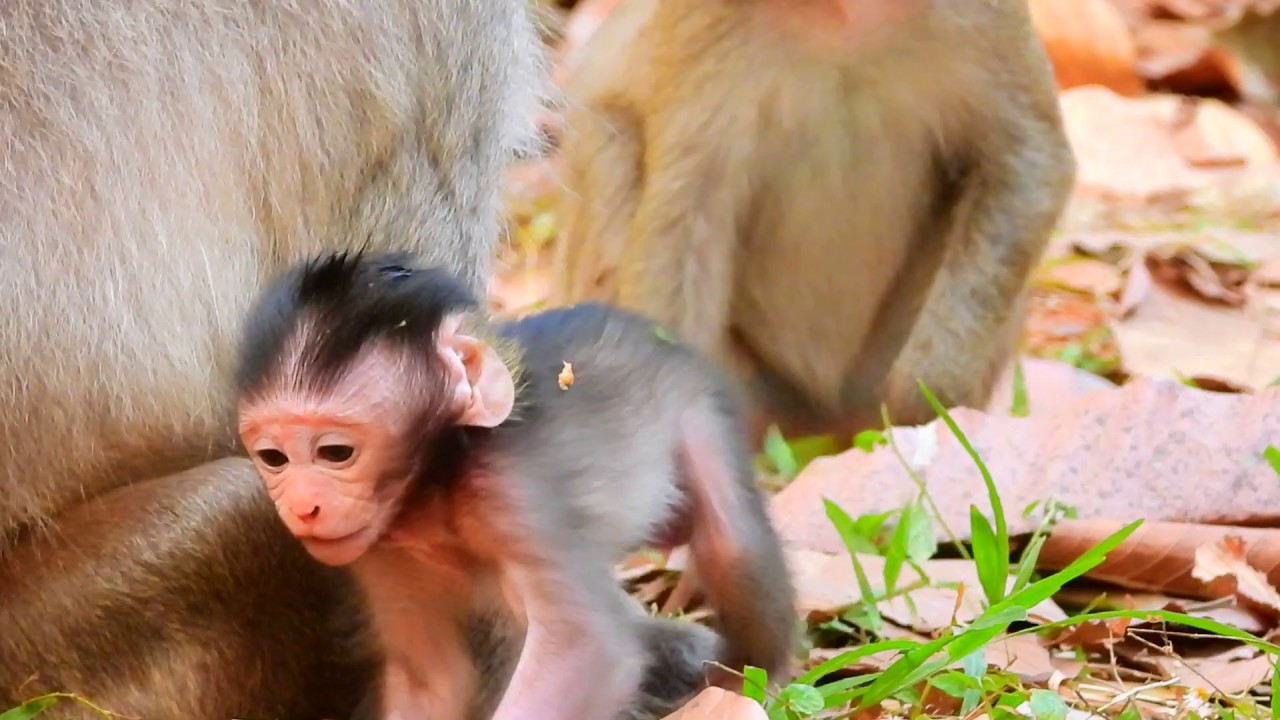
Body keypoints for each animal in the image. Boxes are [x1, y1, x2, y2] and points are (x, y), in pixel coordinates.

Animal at [233, 250, 799, 720]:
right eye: (273, 459)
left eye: (335, 453)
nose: (303, 506)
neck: (438, 483)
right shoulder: (381, 549)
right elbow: (432, 680)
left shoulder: (510, 488)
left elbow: (588, 648)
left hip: (698, 403)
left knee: (731, 545)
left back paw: (751, 683)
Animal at [550, 0, 1078, 438]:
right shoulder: (701, 27)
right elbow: (686, 208)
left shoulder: (983, 15)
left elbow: (1027, 162)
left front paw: (928, 399)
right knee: (609, 144)